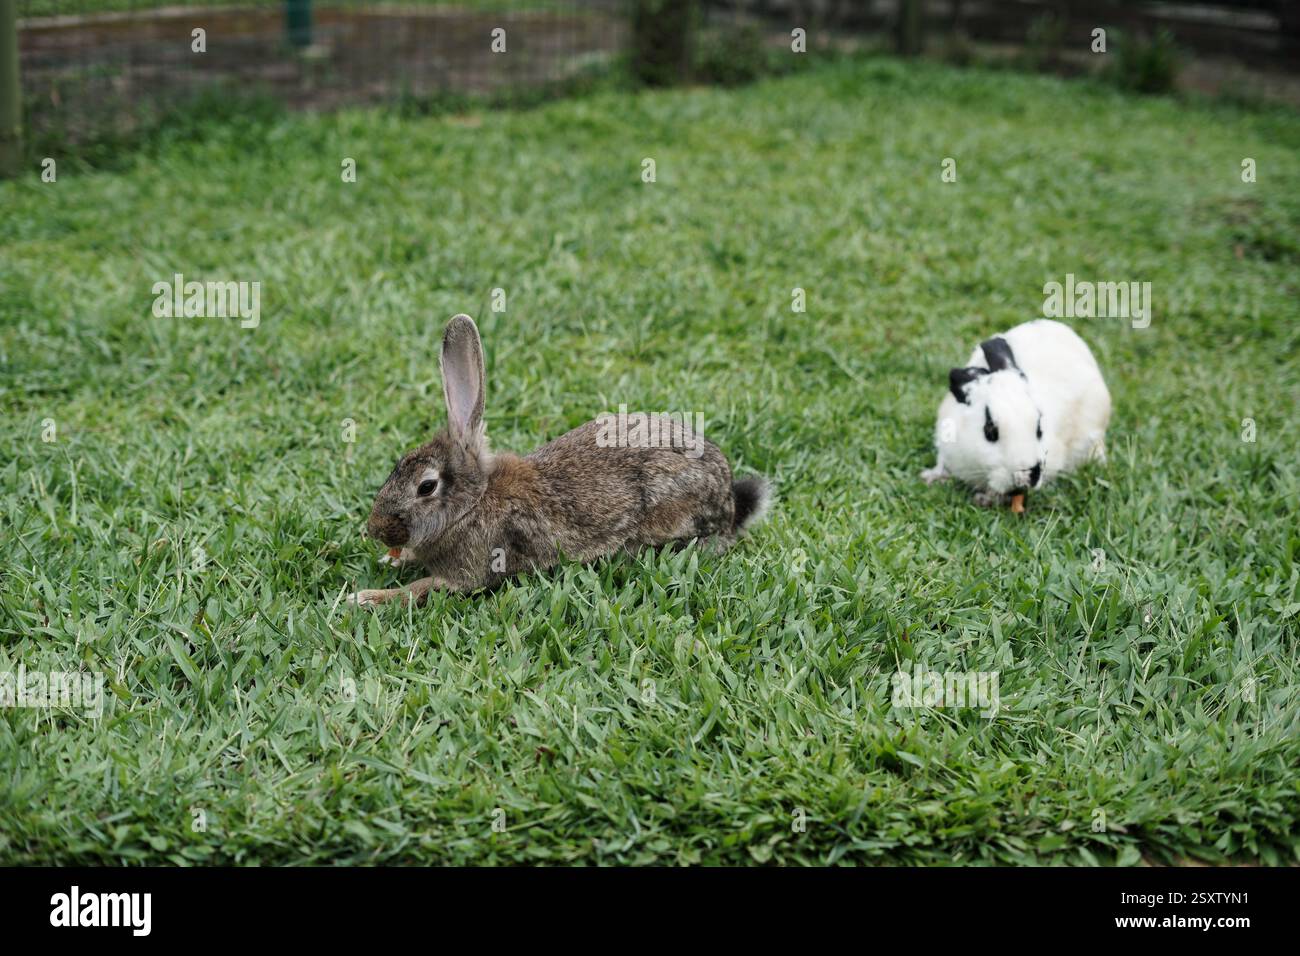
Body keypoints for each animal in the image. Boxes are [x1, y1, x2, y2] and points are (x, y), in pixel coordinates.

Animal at [347, 314, 771, 606]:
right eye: (397, 466)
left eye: (427, 486)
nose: (375, 529)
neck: (472, 505)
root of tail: (730, 503)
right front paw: (391, 561)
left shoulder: (468, 572)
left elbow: (422, 588)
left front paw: (366, 597)